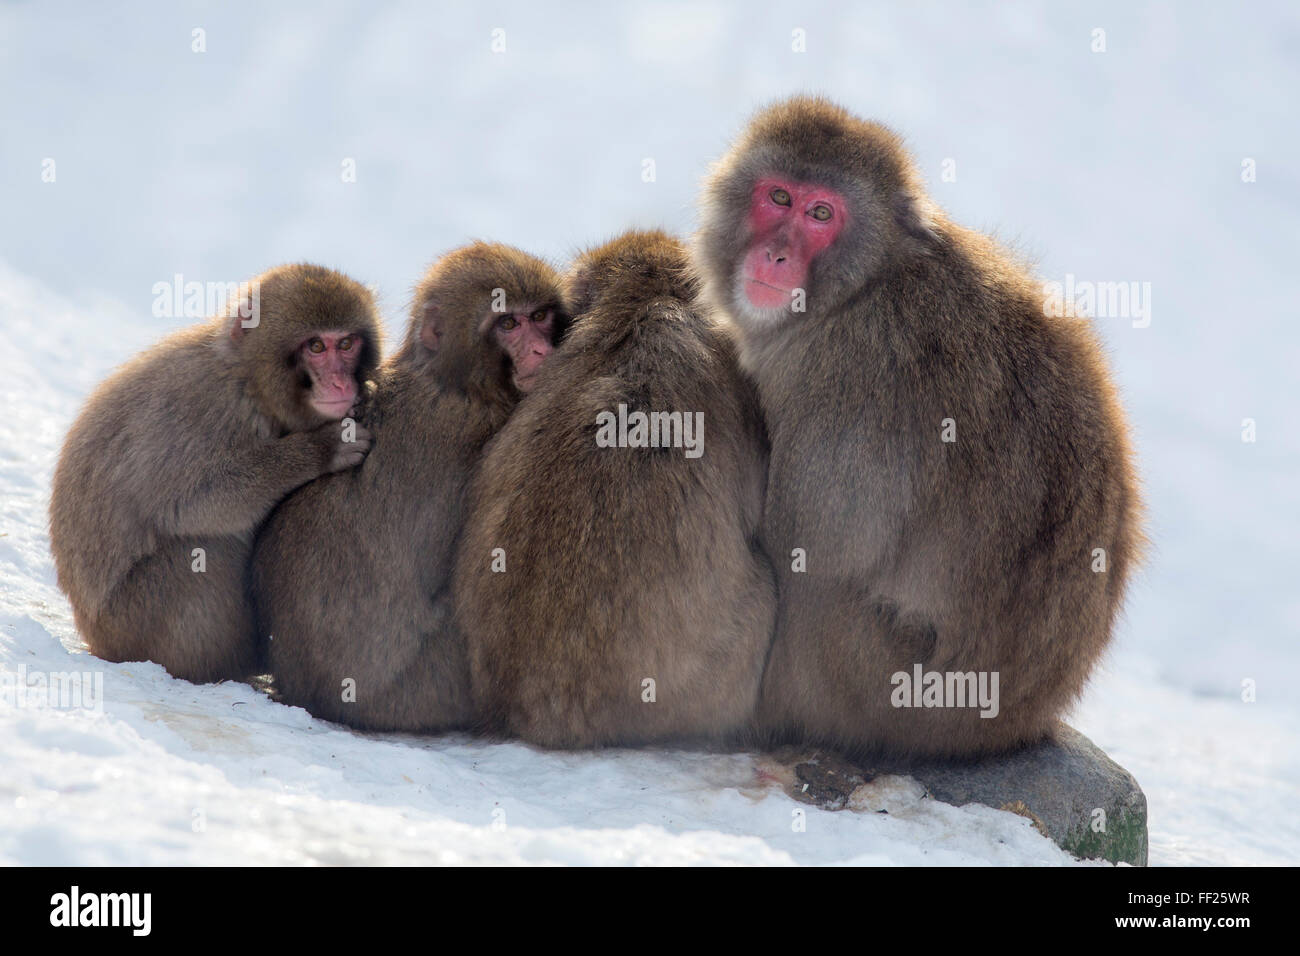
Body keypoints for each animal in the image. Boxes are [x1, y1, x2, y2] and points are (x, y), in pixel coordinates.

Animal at [49, 263, 380, 684]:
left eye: (347, 344)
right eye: (317, 347)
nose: (341, 382)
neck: (249, 381)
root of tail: (95, 637)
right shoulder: (203, 405)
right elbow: (191, 504)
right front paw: (319, 449)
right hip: (133, 622)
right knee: (204, 549)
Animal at [693, 96, 1143, 762]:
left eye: (821, 213)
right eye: (778, 197)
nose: (776, 254)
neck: (863, 286)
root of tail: (1016, 721)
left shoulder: (851, 372)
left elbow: (812, 548)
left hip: (869, 680)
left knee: (815, 596)